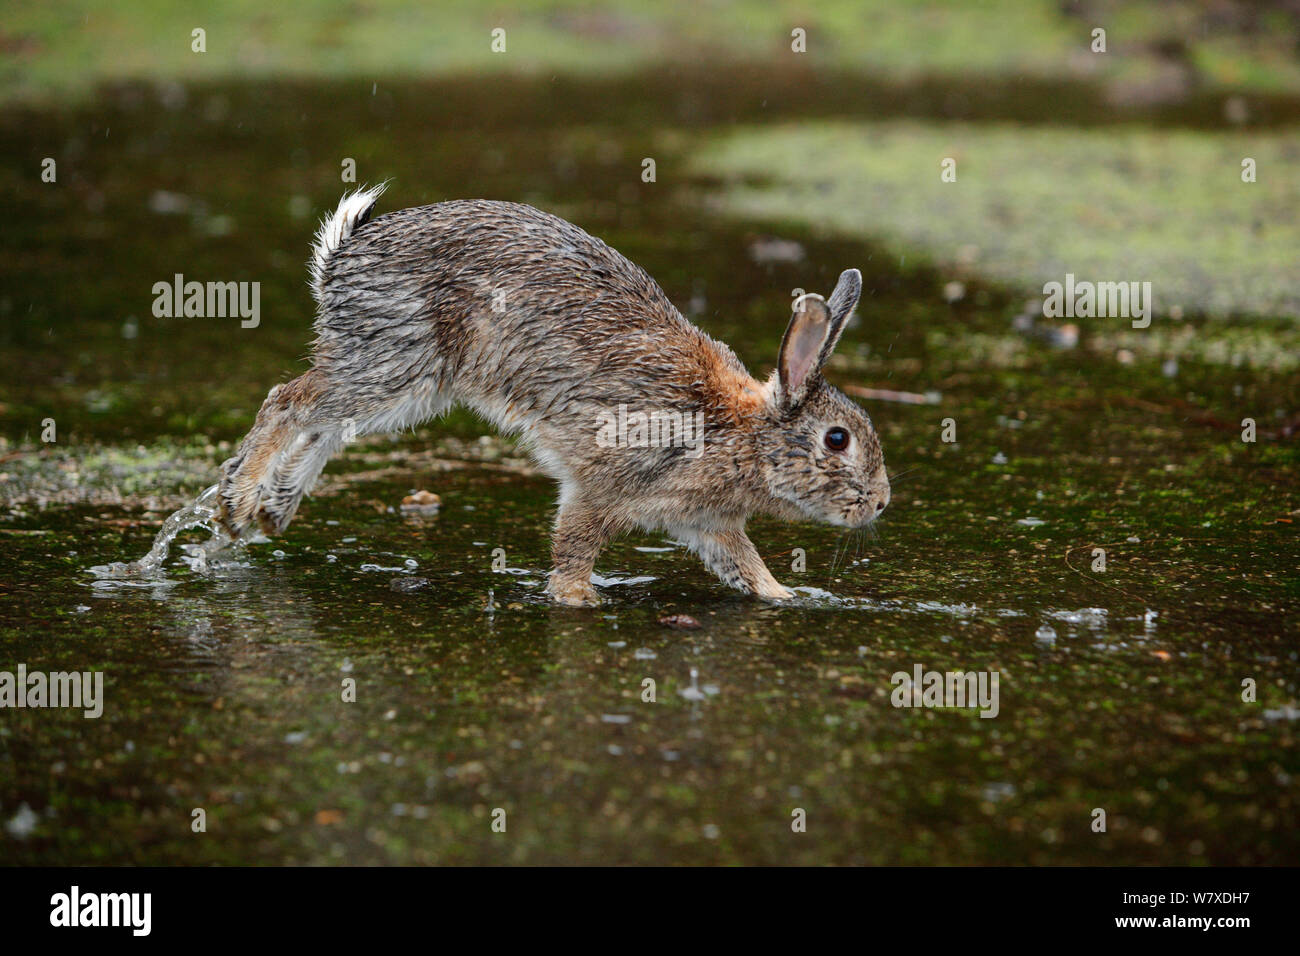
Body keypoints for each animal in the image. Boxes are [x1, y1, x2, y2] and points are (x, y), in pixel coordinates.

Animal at [216, 184, 890, 606]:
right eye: (837, 440)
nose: (880, 505)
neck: (743, 434)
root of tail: (343, 256)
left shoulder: (709, 525)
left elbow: (748, 568)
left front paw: (788, 597)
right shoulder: (604, 487)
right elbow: (572, 549)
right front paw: (579, 602)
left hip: (403, 385)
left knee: (325, 423)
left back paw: (273, 509)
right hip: (396, 364)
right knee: (289, 400)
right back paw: (239, 502)